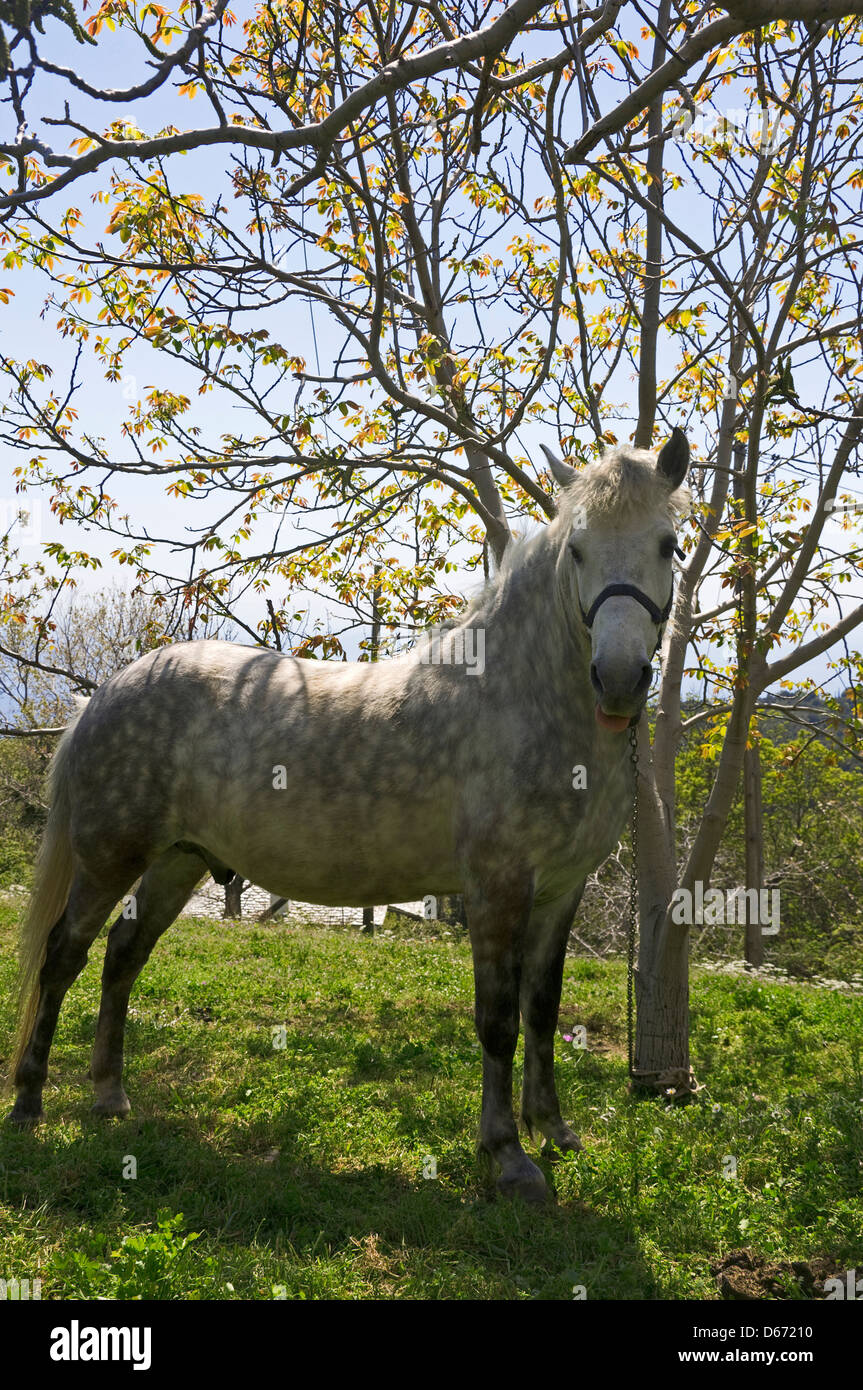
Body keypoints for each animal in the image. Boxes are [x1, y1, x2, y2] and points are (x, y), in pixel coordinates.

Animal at [6, 430, 689, 1203]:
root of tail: (105, 693)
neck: (520, 700)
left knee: (124, 955)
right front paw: (508, 1157)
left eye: (667, 544)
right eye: (576, 549)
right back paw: (29, 1101)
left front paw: (554, 1130)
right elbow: (497, 1020)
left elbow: (542, 1012)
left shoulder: (558, 893)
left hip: (177, 861)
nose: (619, 678)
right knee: (63, 955)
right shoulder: (497, 889)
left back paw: (109, 1094)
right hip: (109, 858)